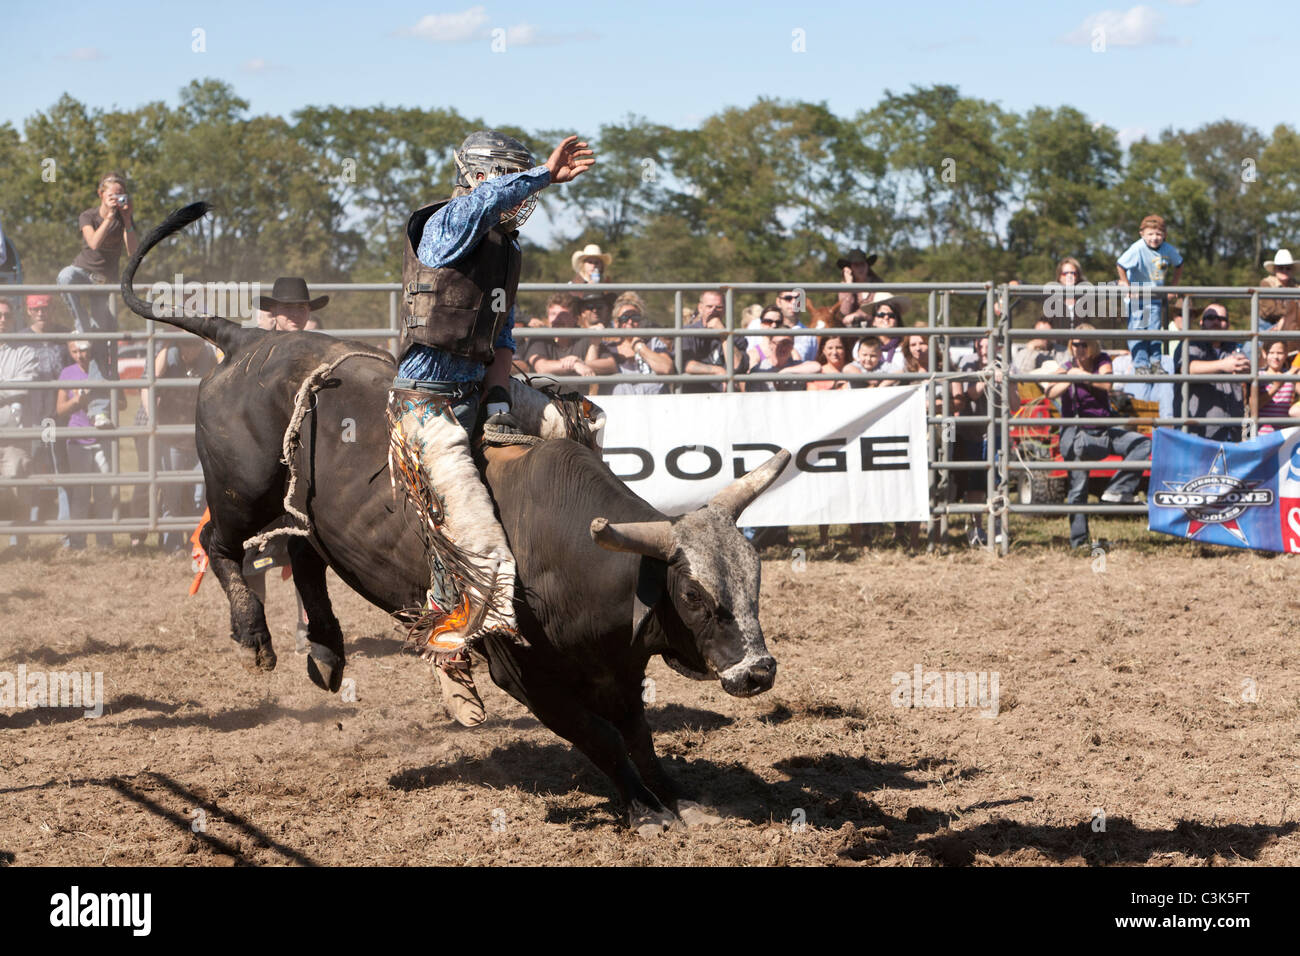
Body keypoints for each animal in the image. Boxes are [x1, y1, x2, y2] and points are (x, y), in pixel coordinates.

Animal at [122, 203, 791, 832]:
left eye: (755, 583)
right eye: (694, 595)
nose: (758, 672)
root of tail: (244, 340)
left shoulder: (618, 665)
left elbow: (636, 733)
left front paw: (677, 800)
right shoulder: (523, 672)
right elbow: (598, 736)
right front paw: (646, 812)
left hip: (305, 503)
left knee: (305, 551)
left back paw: (327, 653)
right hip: (240, 490)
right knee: (221, 542)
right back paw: (255, 638)